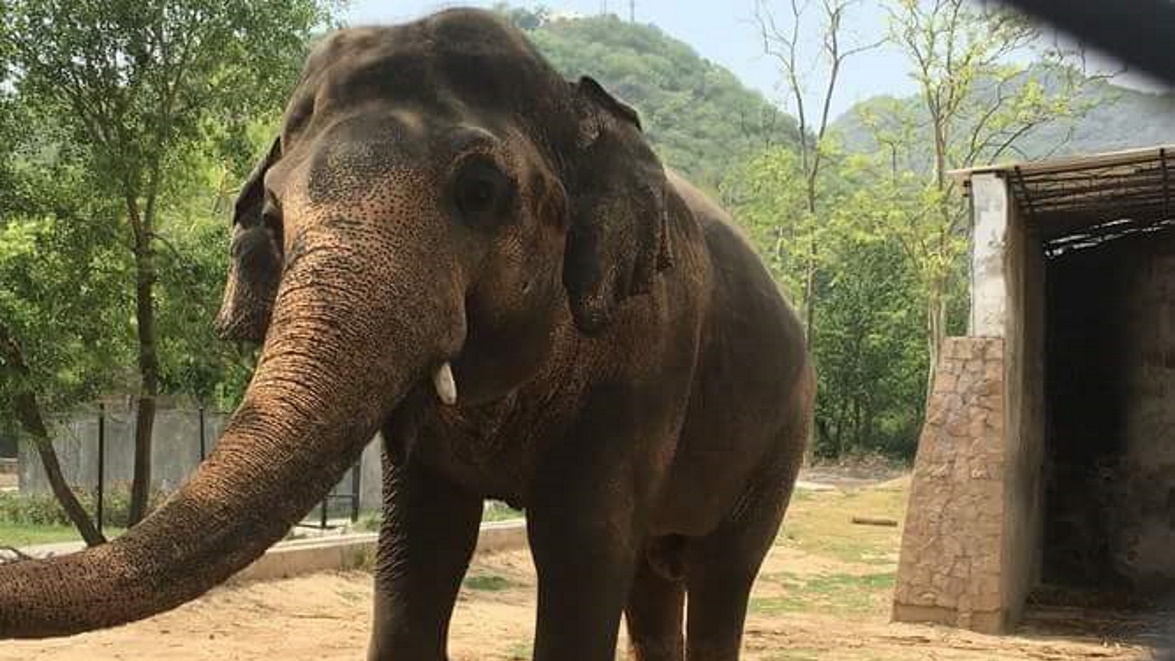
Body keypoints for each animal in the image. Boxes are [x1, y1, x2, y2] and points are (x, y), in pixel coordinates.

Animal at [0, 8, 815, 661]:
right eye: (271, 216)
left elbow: (581, 550)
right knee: (655, 578)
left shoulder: (644, 363)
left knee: (720, 575)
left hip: (783, 439)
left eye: (481, 191)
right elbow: (417, 548)